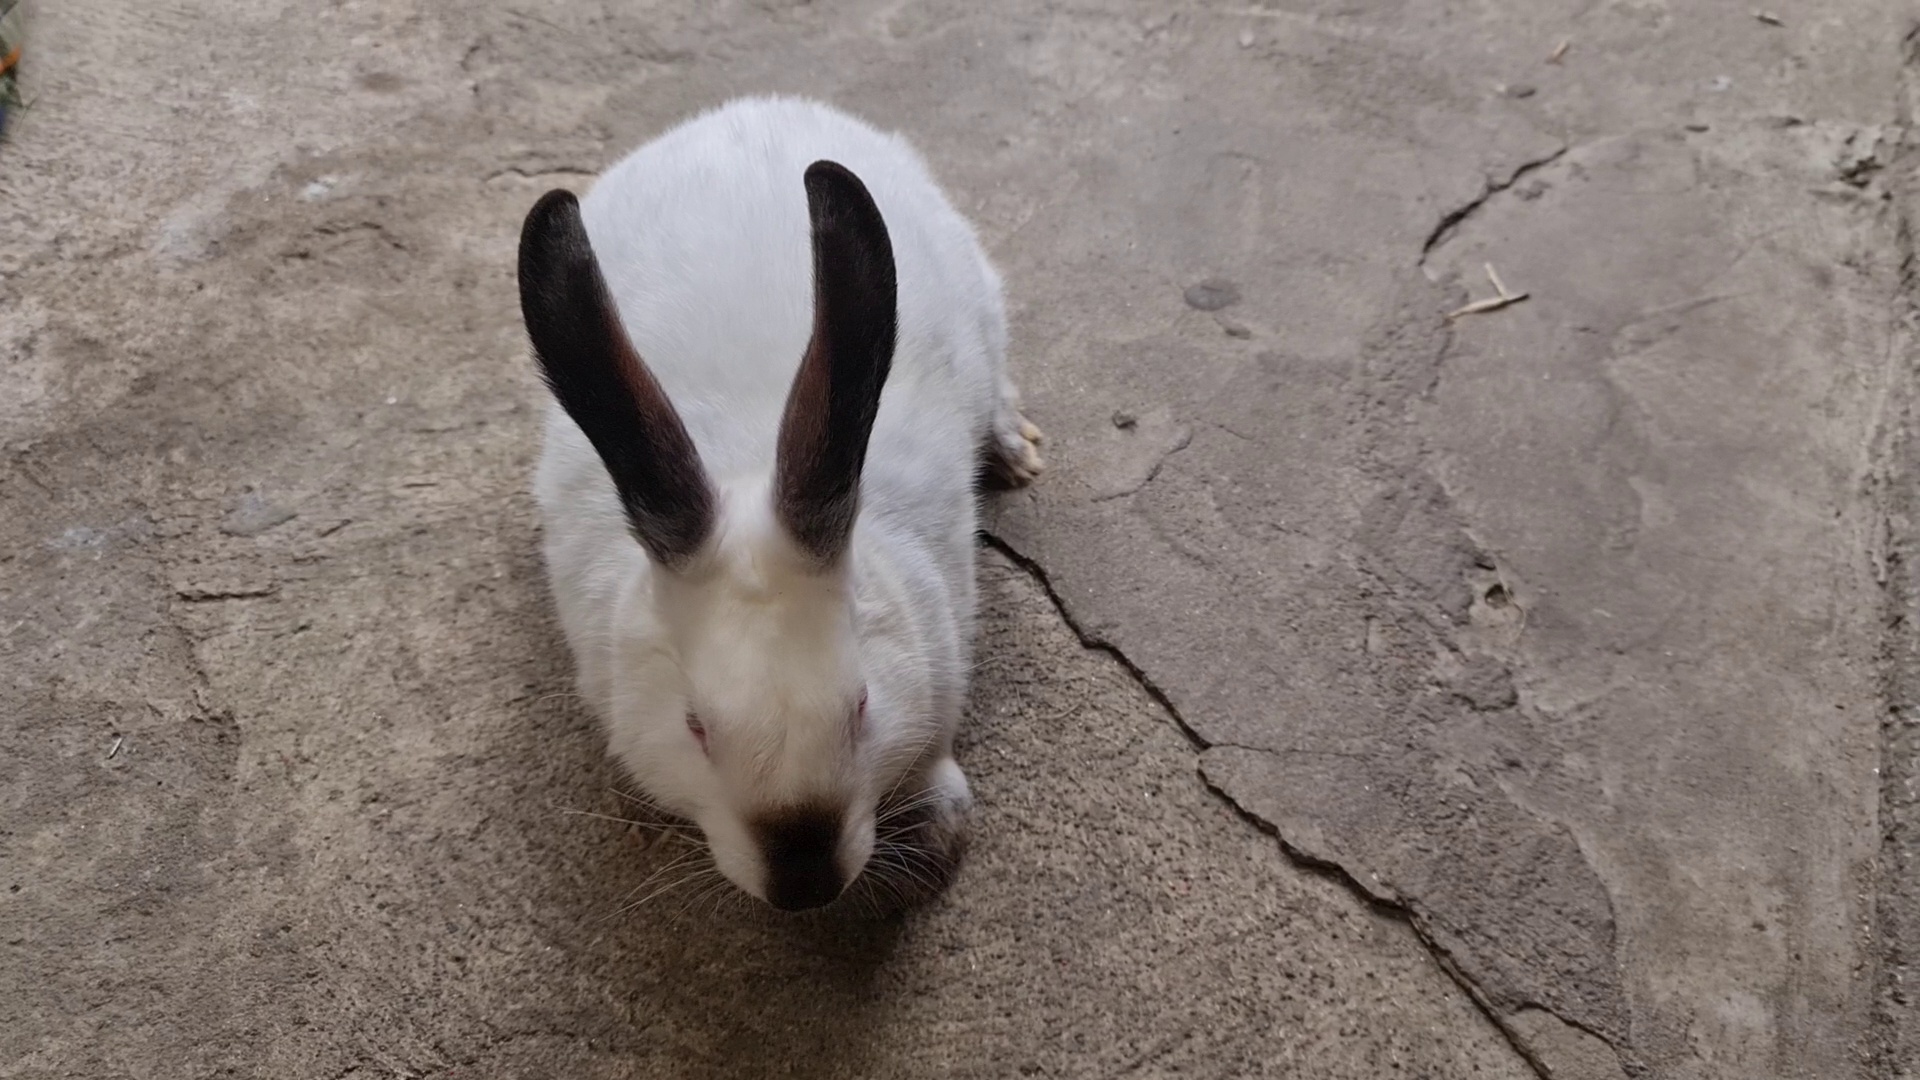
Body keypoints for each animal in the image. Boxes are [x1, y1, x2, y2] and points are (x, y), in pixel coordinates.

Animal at [520, 97, 1044, 912]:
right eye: (696, 727)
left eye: (861, 704)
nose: (804, 885)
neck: (745, 470)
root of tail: (755, 107)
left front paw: (932, 841)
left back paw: (1015, 452)